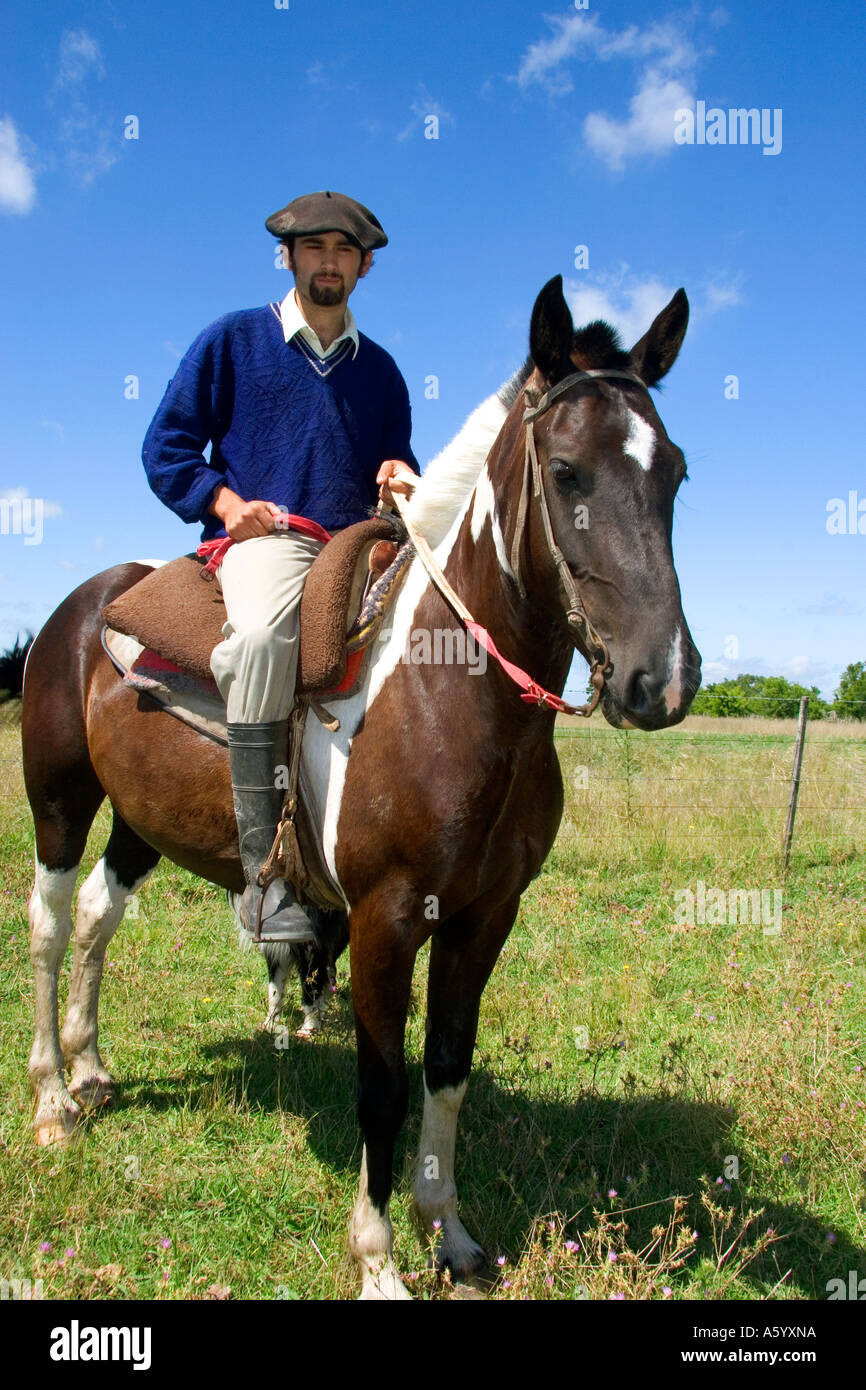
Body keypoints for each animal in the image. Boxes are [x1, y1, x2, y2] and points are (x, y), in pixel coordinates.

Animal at [22, 275, 701, 1298]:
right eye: (568, 472)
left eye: (676, 473)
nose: (661, 681)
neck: (442, 691)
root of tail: (89, 604)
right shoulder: (384, 920)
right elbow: (381, 1087)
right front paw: (379, 1256)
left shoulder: (483, 918)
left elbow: (447, 1072)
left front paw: (449, 1233)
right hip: (59, 802)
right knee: (53, 927)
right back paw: (55, 1100)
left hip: (139, 820)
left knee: (101, 916)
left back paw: (92, 1066)